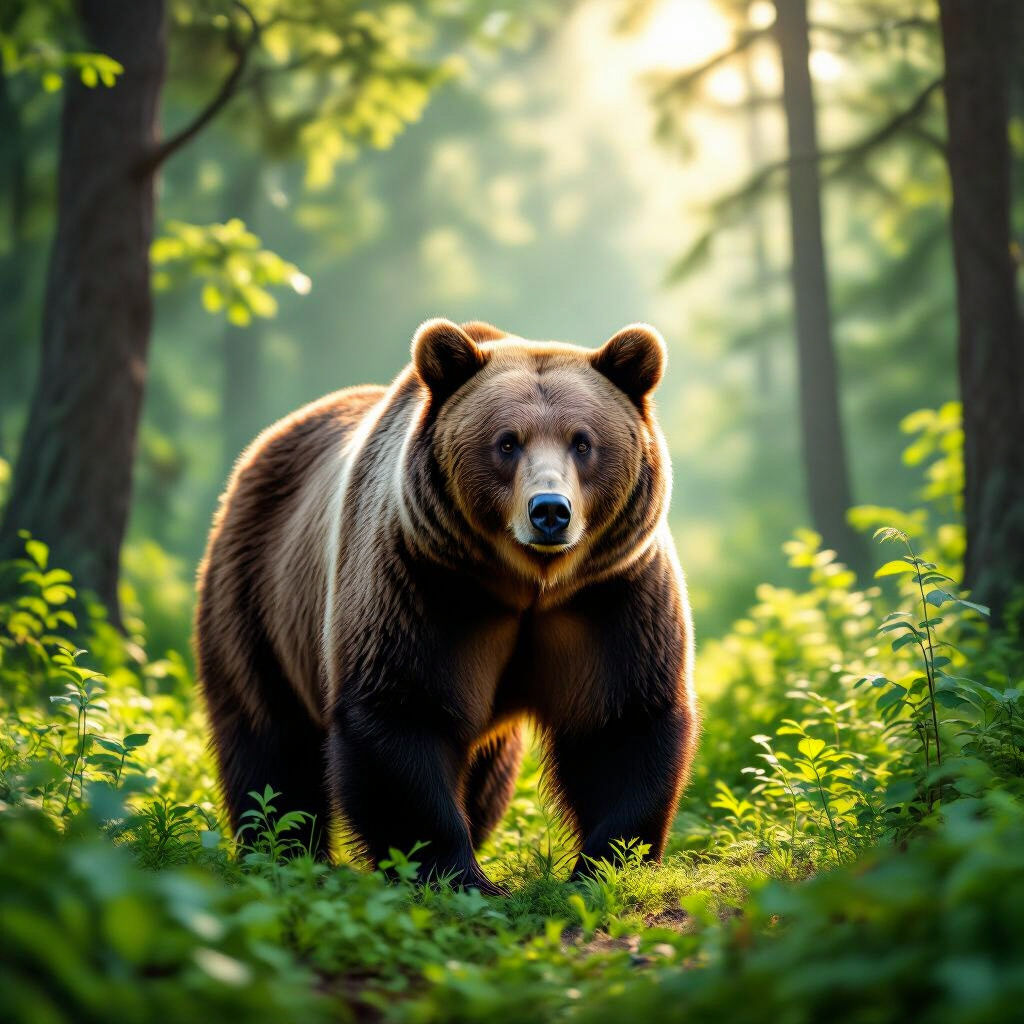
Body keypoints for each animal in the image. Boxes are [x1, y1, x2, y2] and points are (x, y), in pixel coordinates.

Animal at [195, 319, 697, 894]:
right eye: (507, 441)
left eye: (583, 441)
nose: (550, 511)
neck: (530, 585)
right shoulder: (423, 582)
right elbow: (404, 711)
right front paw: (456, 873)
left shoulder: (610, 593)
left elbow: (623, 722)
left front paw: (605, 865)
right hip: (256, 594)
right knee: (269, 741)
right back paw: (283, 853)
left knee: (485, 772)